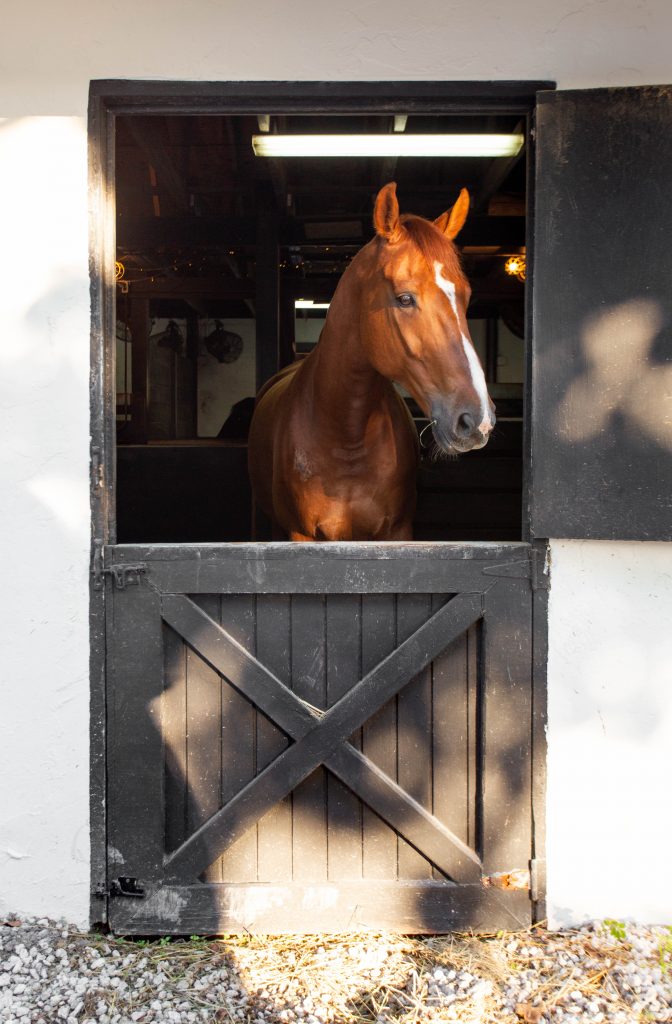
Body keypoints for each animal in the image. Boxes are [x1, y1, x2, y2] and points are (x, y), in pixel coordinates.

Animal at [247, 182, 496, 542]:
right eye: (404, 298)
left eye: (465, 296)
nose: (477, 419)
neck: (346, 438)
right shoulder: (301, 536)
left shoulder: (397, 532)